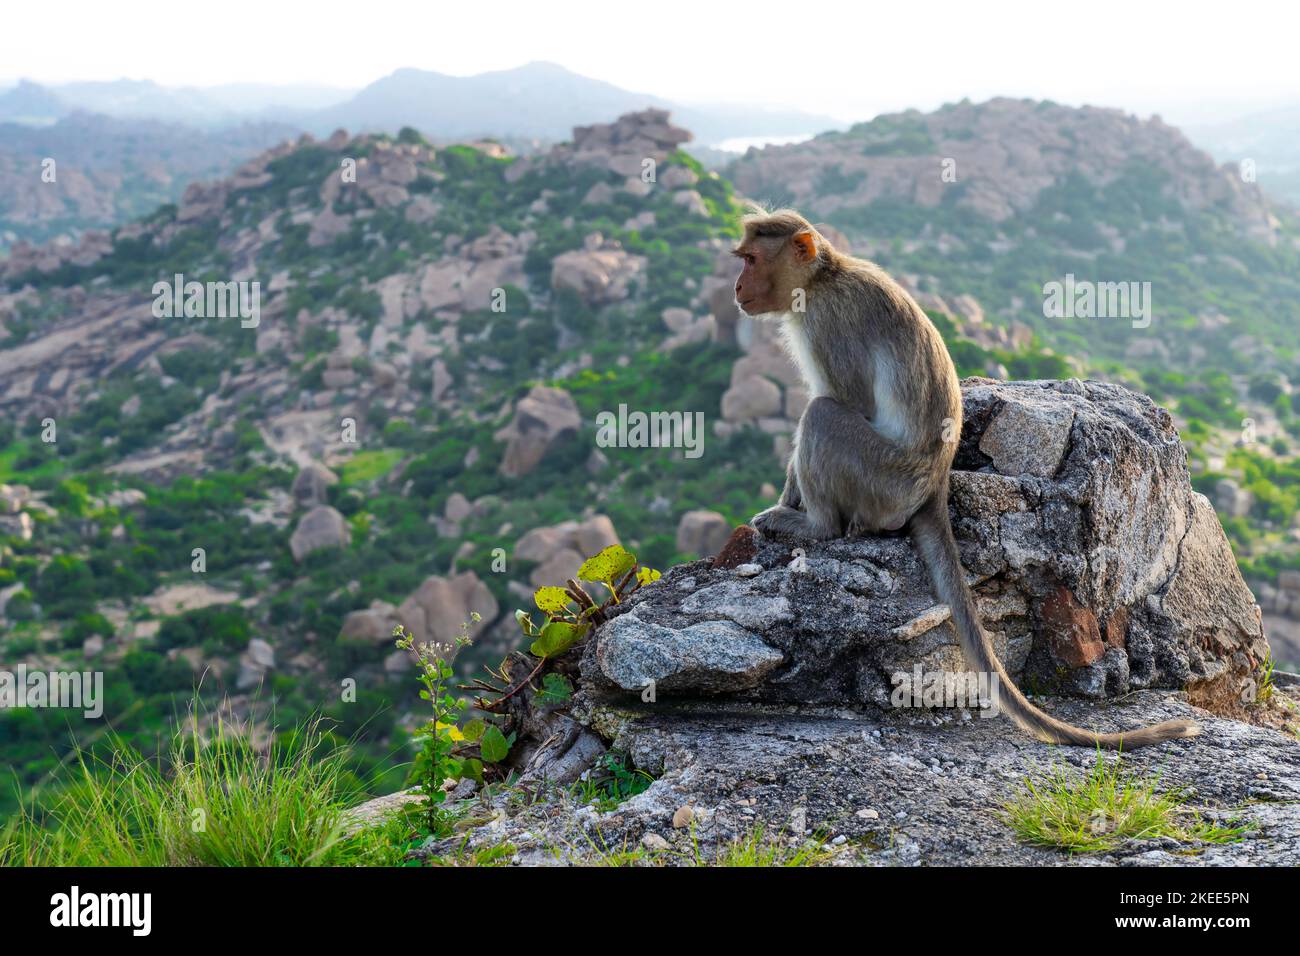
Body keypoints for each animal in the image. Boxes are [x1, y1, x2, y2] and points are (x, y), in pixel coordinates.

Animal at [732, 208, 1200, 749]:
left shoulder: (826, 324)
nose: (737, 285)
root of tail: (933, 486)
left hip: (881, 482)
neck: (823, 278)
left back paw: (816, 527)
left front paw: (792, 504)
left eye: (751, 259)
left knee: (824, 415)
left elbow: (851, 402)